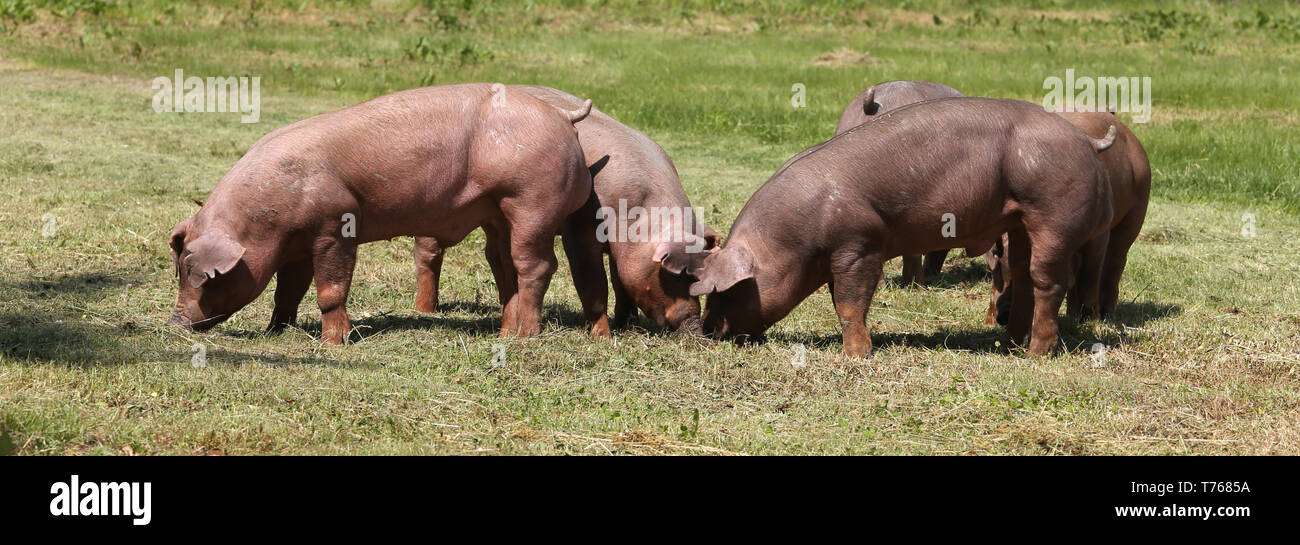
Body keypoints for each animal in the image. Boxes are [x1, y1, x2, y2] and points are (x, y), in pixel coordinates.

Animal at [168, 83, 604, 344]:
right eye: (180, 269)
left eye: (197, 274)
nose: (175, 322)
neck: (264, 221)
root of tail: (562, 116)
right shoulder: (295, 246)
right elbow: (287, 290)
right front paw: (278, 331)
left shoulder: (336, 224)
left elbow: (330, 289)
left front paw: (332, 343)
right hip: (496, 210)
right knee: (503, 264)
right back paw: (504, 333)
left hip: (533, 200)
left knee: (537, 264)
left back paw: (522, 338)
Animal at [412, 85, 719, 334]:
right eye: (674, 274)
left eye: (698, 274)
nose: (696, 327)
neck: (636, 213)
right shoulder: (579, 228)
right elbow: (592, 280)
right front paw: (603, 335)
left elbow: (621, 280)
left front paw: (626, 325)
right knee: (428, 252)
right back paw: (426, 310)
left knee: (493, 255)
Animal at [689, 97, 1116, 357]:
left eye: (727, 292)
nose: (708, 330)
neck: (795, 241)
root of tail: (1086, 140)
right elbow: (839, 300)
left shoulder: (859, 244)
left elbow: (849, 303)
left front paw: (854, 355)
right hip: (1019, 221)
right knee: (1023, 276)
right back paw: (1008, 344)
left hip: (1053, 213)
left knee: (1049, 280)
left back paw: (1034, 354)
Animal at [984, 112, 1150, 325]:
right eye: (999, 256)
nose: (1004, 315)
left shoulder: (1100, 236)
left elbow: (1091, 273)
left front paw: (1091, 319)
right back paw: (1073, 314)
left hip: (1133, 218)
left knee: (1114, 264)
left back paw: (1104, 314)